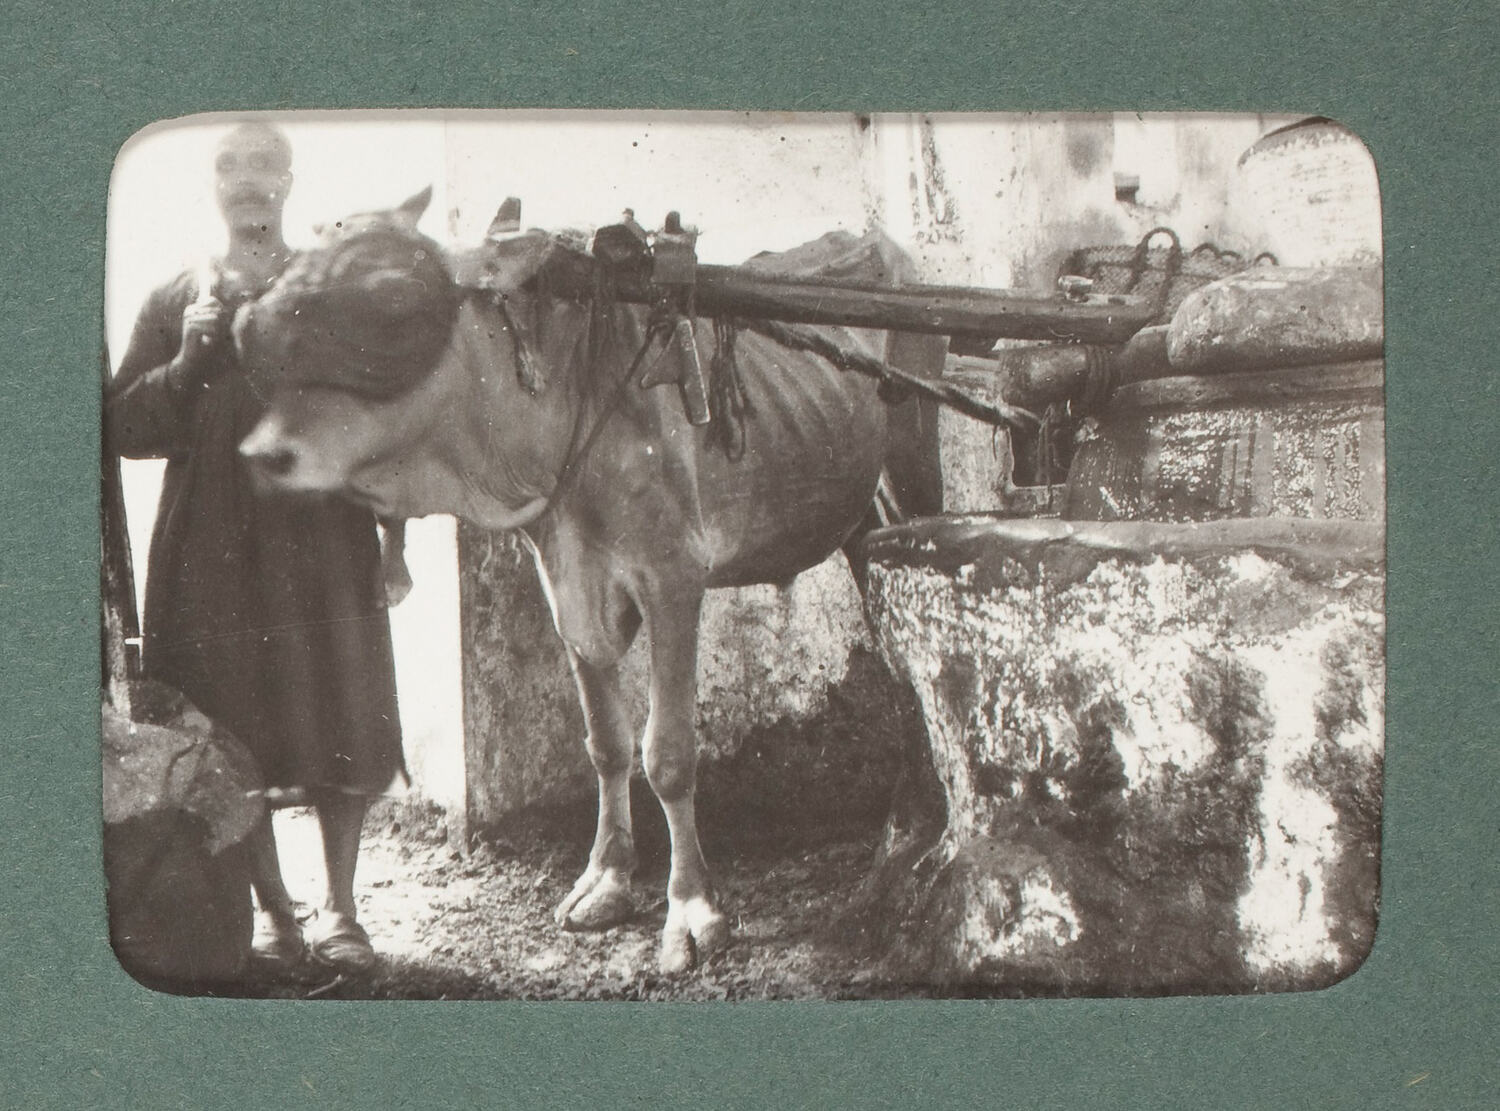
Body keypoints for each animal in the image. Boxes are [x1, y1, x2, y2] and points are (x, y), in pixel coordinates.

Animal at [235, 190, 926, 971]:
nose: (264, 453)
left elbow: (668, 753)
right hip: (860, 509)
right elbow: (606, 742)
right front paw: (607, 877)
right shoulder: (564, 579)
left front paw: (693, 909)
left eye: (391, 300)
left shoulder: (673, 573)